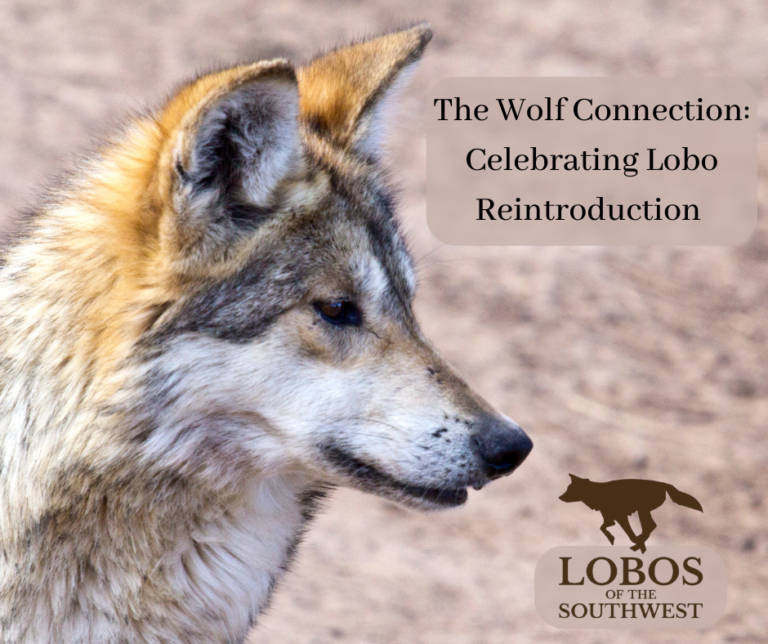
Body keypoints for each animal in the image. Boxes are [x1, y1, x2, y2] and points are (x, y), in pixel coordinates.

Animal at [559, 475, 703, 553]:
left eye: (570, 489)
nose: (560, 497)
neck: (597, 493)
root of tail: (664, 484)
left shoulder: (621, 517)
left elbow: (628, 534)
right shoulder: (611, 519)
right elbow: (603, 527)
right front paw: (612, 539)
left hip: (642, 510)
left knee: (650, 526)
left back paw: (637, 544)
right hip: (642, 511)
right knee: (651, 526)